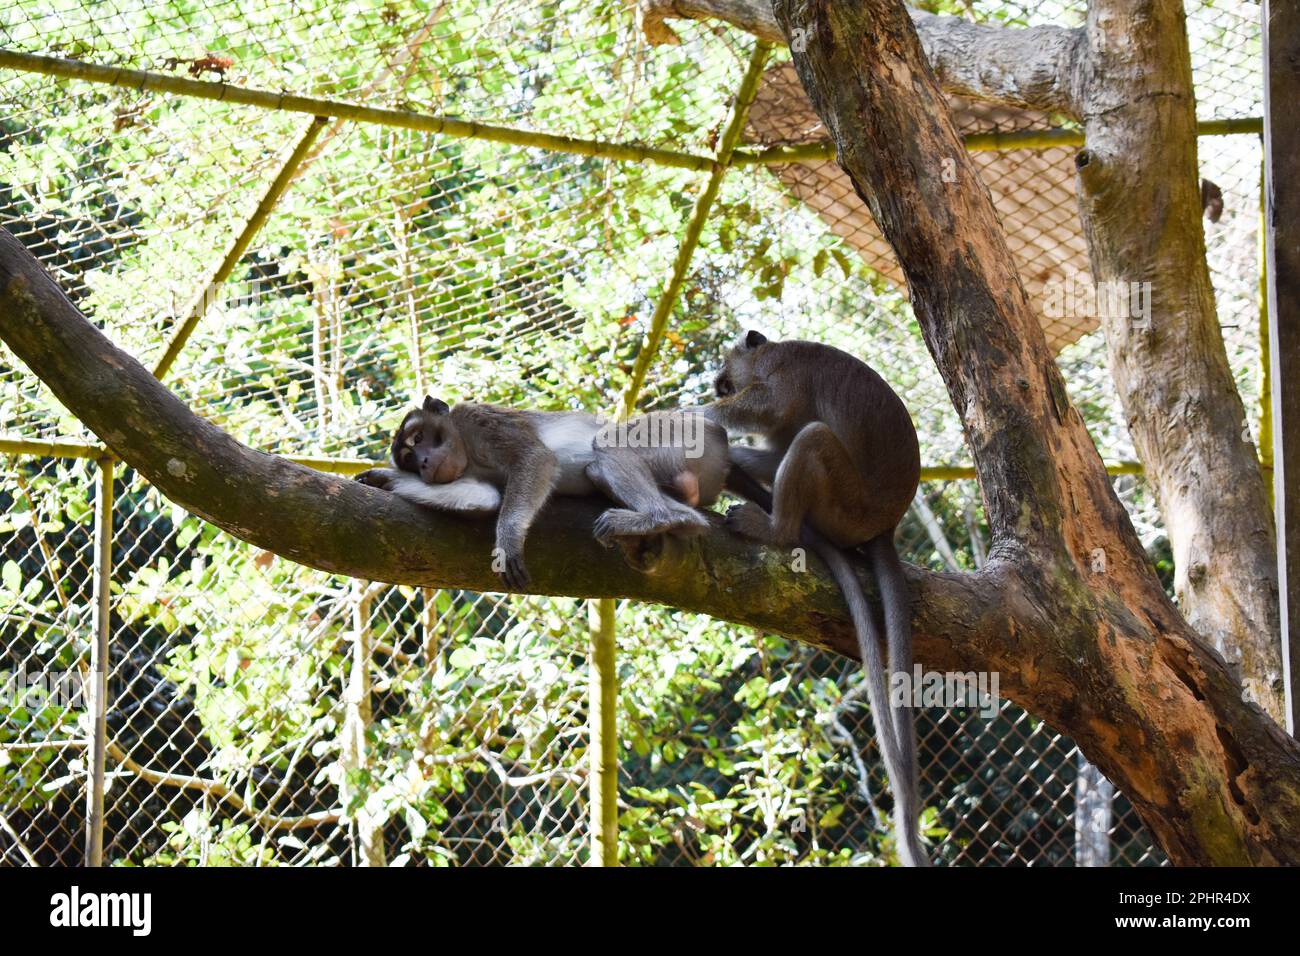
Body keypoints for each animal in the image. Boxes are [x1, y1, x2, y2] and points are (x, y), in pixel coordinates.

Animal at [356, 397, 731, 590]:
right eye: (409, 459)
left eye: (419, 439)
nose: (423, 463)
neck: (467, 449)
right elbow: (482, 499)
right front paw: (387, 478)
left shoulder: (479, 418)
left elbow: (535, 458)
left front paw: (508, 541)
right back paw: (684, 520)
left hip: (685, 433)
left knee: (609, 443)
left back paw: (658, 517)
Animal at [703, 331, 929, 867]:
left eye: (725, 379)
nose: (716, 385)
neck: (769, 352)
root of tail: (885, 527)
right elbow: (771, 450)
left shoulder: (784, 370)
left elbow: (772, 406)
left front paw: (696, 413)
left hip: (847, 504)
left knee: (813, 440)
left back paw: (777, 529)